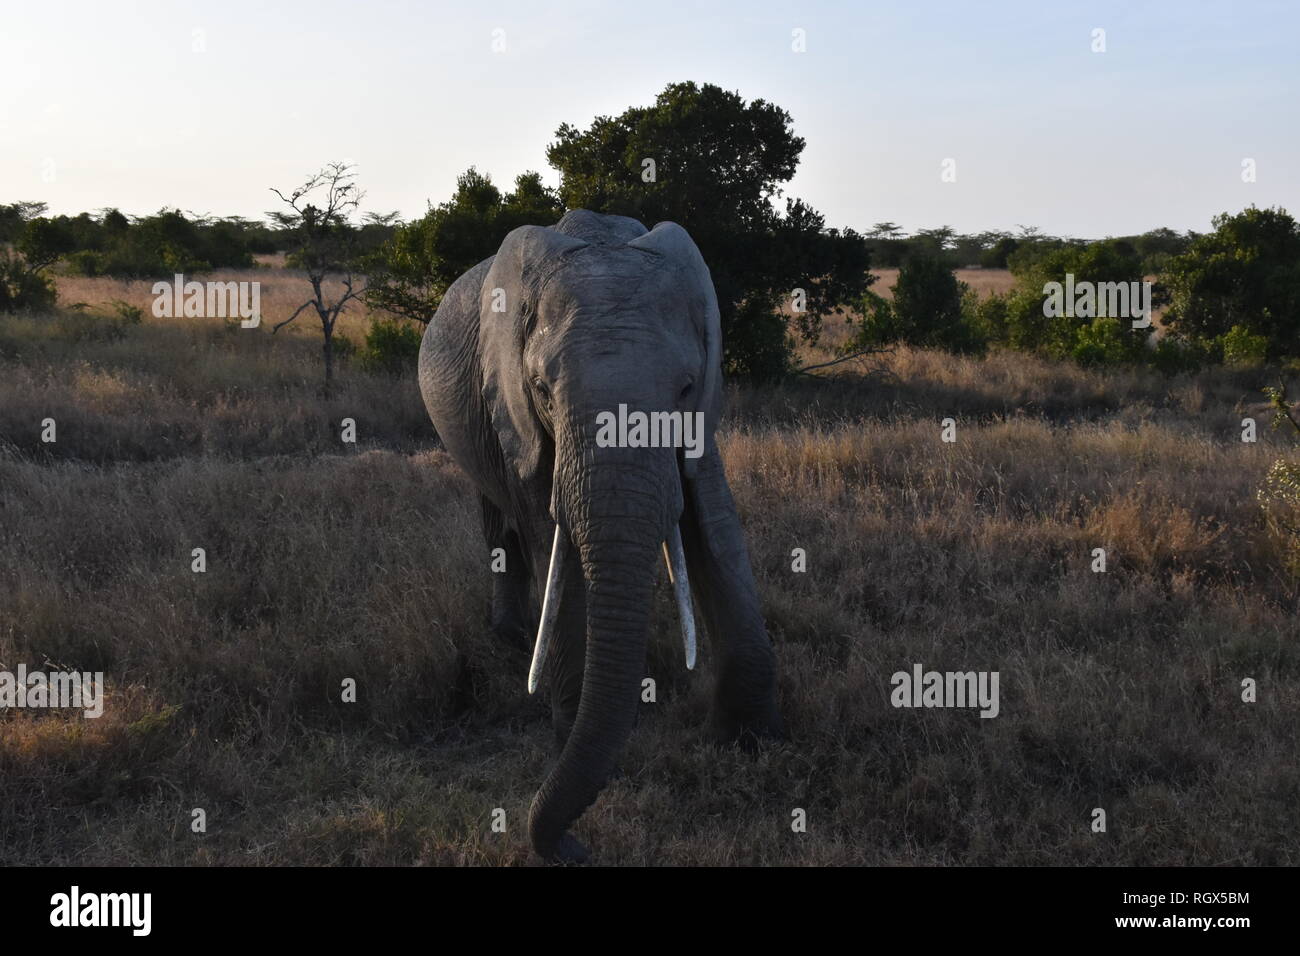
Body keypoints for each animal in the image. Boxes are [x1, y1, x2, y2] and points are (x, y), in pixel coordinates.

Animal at [418, 209, 782, 863]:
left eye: (685, 388)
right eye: (542, 389)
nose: (575, 848)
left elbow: (715, 524)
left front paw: (752, 740)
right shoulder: (520, 415)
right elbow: (557, 551)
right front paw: (565, 741)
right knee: (500, 523)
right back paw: (512, 638)